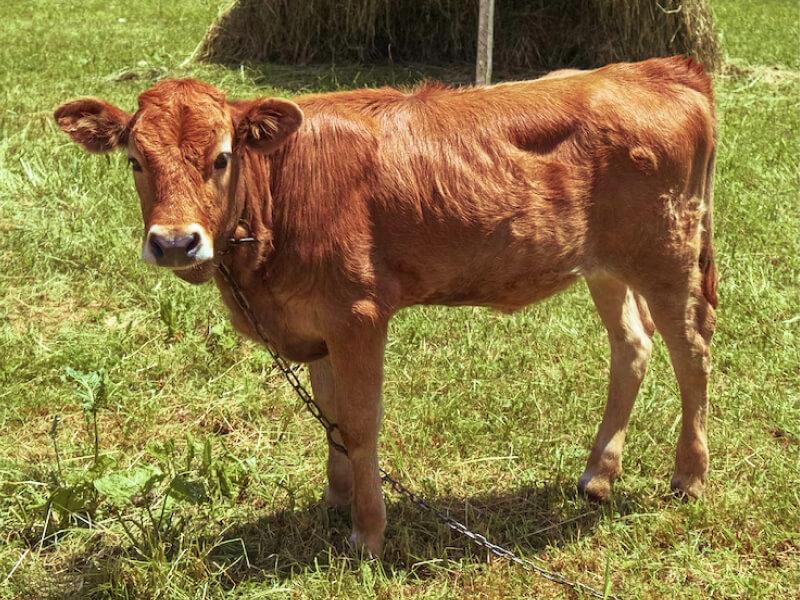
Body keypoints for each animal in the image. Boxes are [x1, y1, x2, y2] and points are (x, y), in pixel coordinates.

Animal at [54, 56, 718, 555]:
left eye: (221, 156)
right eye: (135, 161)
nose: (174, 242)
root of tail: (658, 69)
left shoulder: (358, 316)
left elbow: (360, 422)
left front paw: (367, 534)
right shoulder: (316, 324)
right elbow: (330, 418)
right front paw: (335, 501)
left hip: (666, 255)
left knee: (692, 352)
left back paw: (688, 475)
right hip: (606, 266)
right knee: (632, 345)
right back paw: (598, 474)